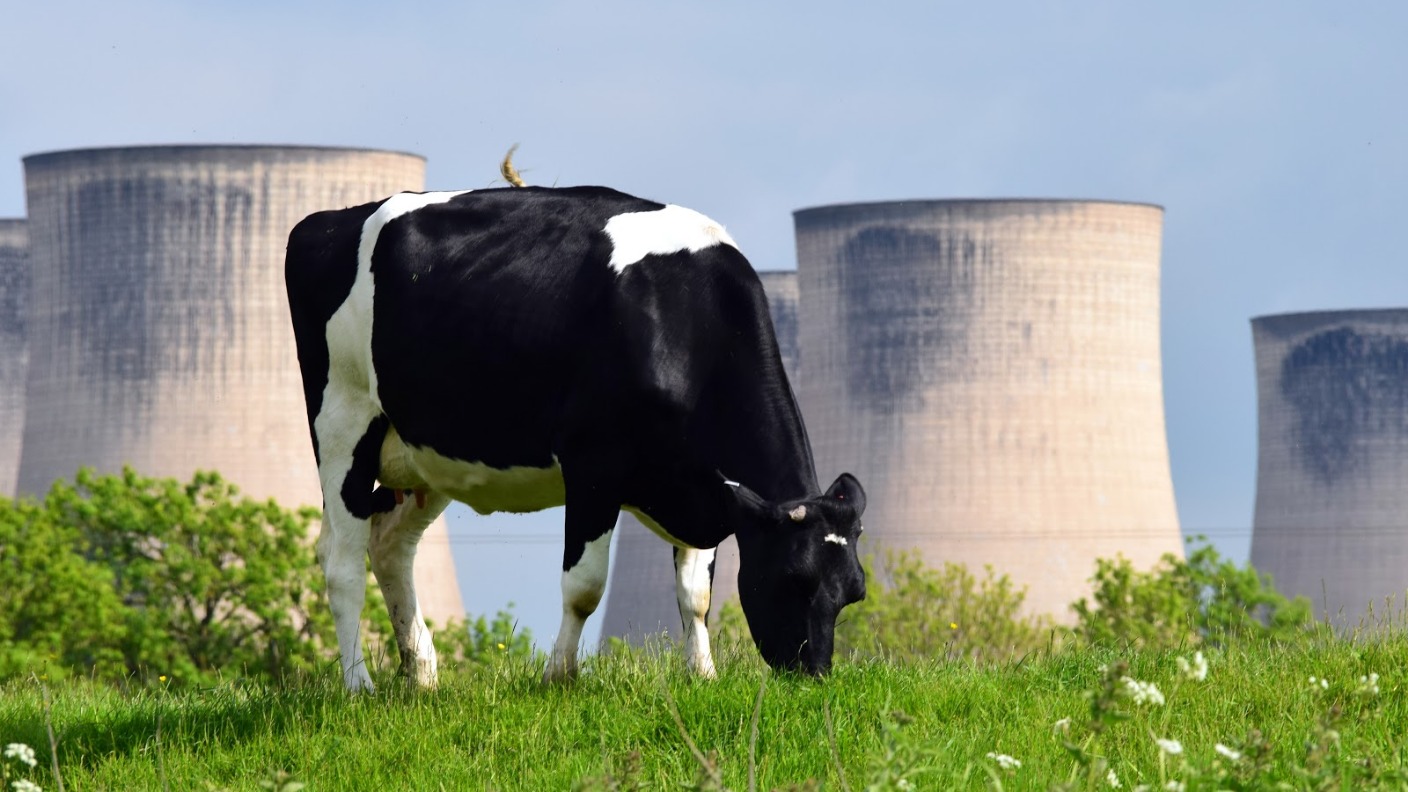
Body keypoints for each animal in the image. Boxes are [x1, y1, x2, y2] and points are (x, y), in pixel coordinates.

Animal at [285, 184, 867, 691]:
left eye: (853, 593)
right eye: (792, 578)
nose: (813, 677)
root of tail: (325, 222)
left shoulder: (705, 483)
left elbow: (695, 593)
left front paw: (702, 675)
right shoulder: (593, 465)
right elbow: (584, 586)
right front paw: (560, 675)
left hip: (422, 455)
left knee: (388, 546)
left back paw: (422, 674)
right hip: (343, 422)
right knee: (341, 562)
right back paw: (359, 686)